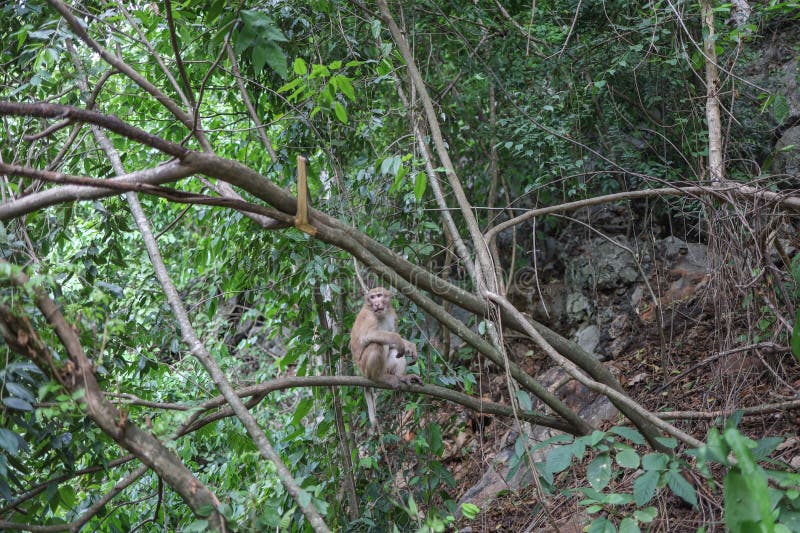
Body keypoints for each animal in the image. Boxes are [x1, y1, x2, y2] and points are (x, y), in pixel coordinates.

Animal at [349, 287, 422, 429]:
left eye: (379, 295)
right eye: (372, 297)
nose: (377, 303)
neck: (381, 314)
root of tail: (362, 373)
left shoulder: (392, 315)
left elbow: (396, 345)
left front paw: (410, 346)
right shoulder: (368, 316)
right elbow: (368, 336)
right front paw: (397, 339)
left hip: (386, 367)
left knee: (396, 352)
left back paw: (401, 377)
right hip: (365, 367)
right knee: (376, 345)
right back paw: (378, 377)